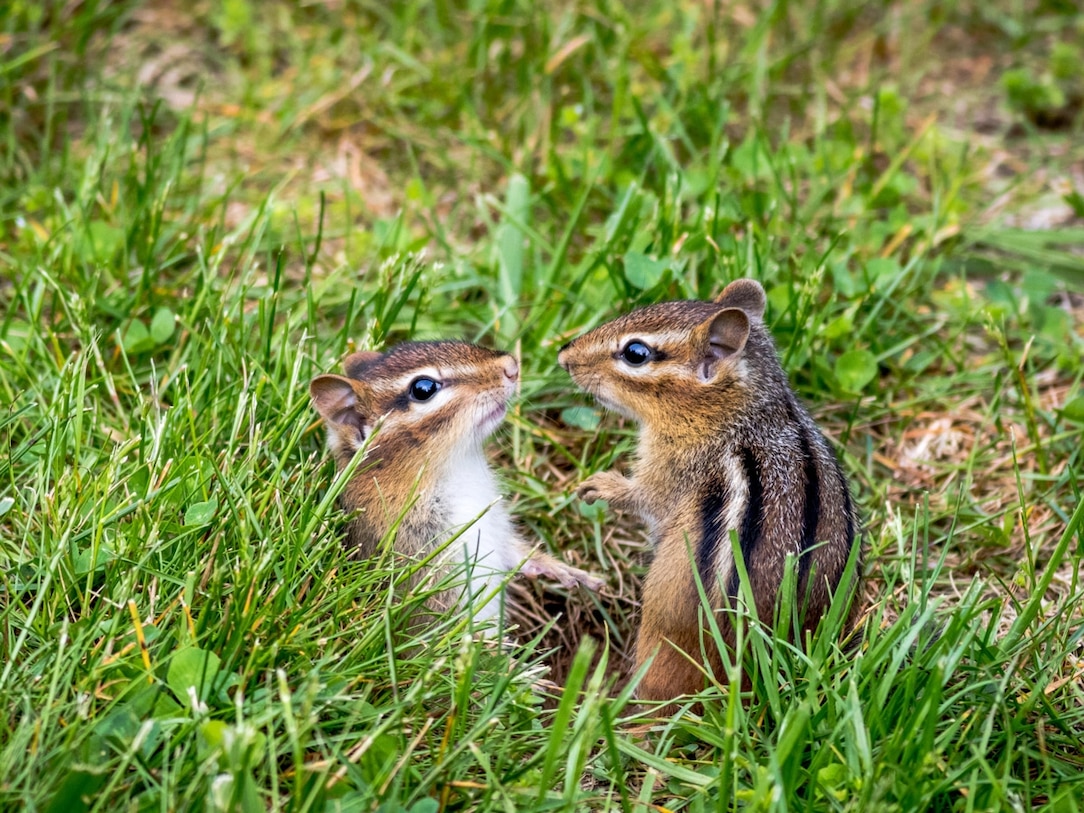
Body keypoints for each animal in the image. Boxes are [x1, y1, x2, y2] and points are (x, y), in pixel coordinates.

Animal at [310, 340, 603, 625]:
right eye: (423, 389)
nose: (511, 366)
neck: (460, 469)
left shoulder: (496, 526)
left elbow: (515, 552)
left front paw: (562, 570)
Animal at [558, 278, 860, 703]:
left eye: (636, 353)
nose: (564, 356)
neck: (743, 412)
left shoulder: (671, 468)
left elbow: (643, 496)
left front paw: (601, 485)